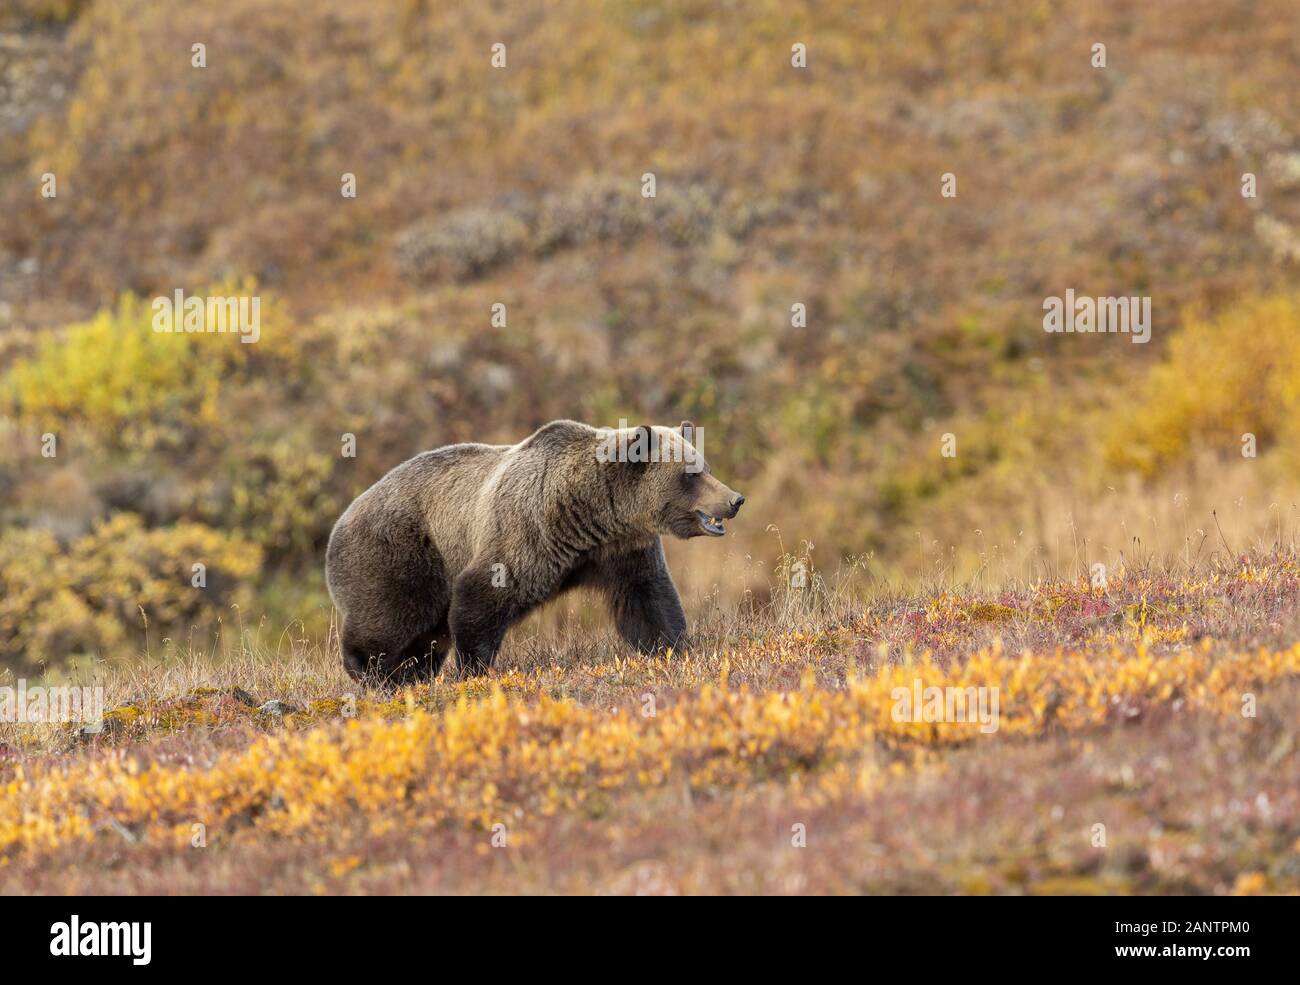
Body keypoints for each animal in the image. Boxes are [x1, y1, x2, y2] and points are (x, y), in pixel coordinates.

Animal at [325, 420, 745, 685]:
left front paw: (674, 648)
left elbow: (648, 601)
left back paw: (412, 674)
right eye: (690, 473)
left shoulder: (622, 550)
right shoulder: (526, 534)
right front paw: (473, 670)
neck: (589, 515)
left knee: (425, 637)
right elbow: (480, 597)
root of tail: (340, 520)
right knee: (392, 615)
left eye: (705, 466)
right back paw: (375, 673)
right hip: (401, 551)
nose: (735, 499)